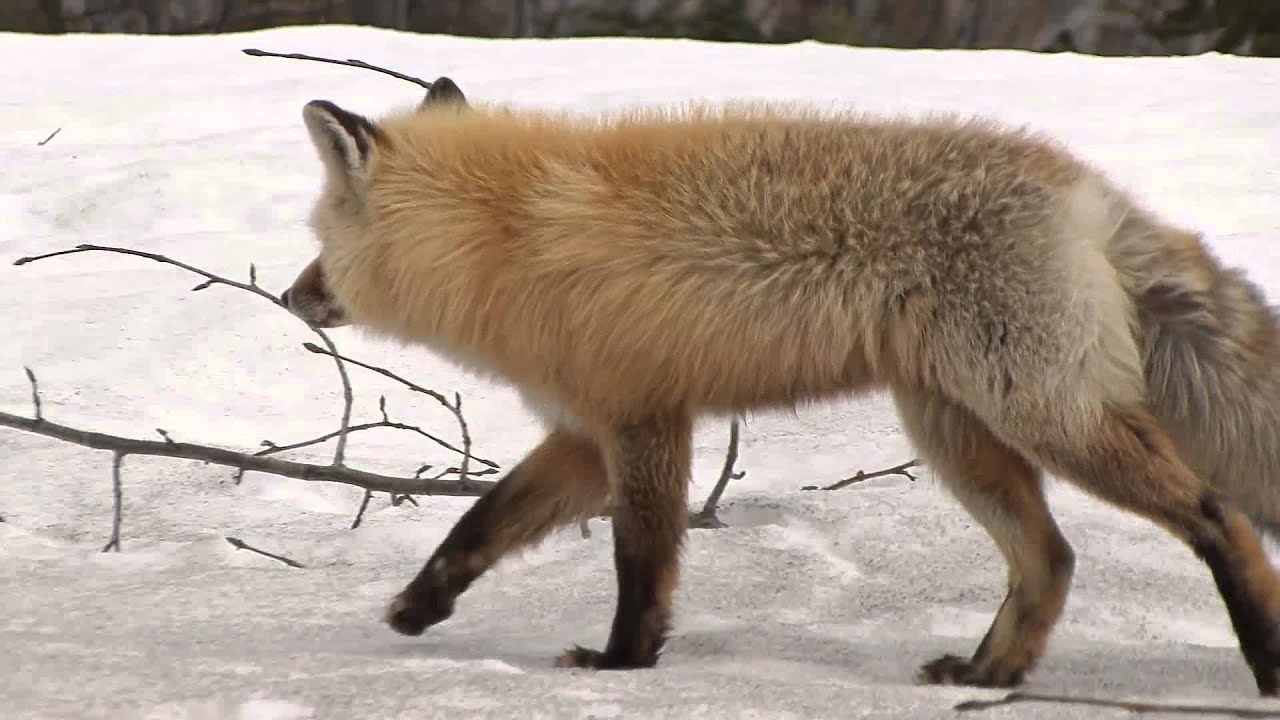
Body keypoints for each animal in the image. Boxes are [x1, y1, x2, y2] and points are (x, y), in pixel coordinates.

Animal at [280, 76, 1280, 695]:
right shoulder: (585, 432)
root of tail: (1082, 186)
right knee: (1053, 560)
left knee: (1217, 517)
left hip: (1047, 419)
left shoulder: (642, 419)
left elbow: (642, 563)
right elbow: (477, 526)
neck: (504, 234)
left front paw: (621, 667)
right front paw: (419, 608)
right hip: (960, 437)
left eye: (320, 238)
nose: (291, 297)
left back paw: (1263, 656)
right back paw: (987, 678)